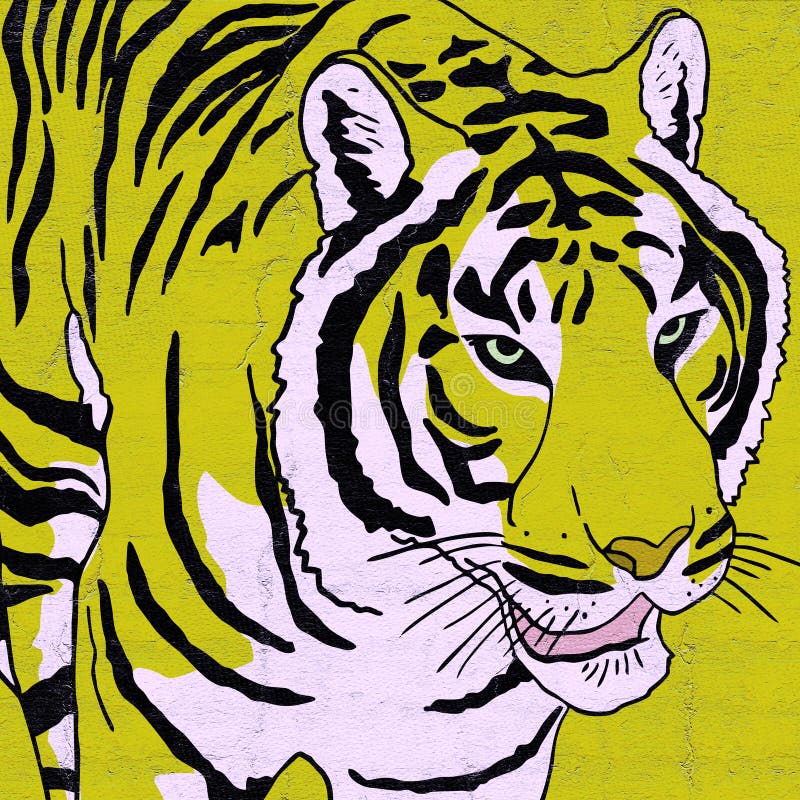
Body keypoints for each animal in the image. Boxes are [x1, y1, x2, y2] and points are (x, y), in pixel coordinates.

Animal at [0, 1, 789, 799]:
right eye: (505, 353)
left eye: (678, 330)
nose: (649, 555)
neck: (390, 616)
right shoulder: (158, 728)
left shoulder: (453, 765)